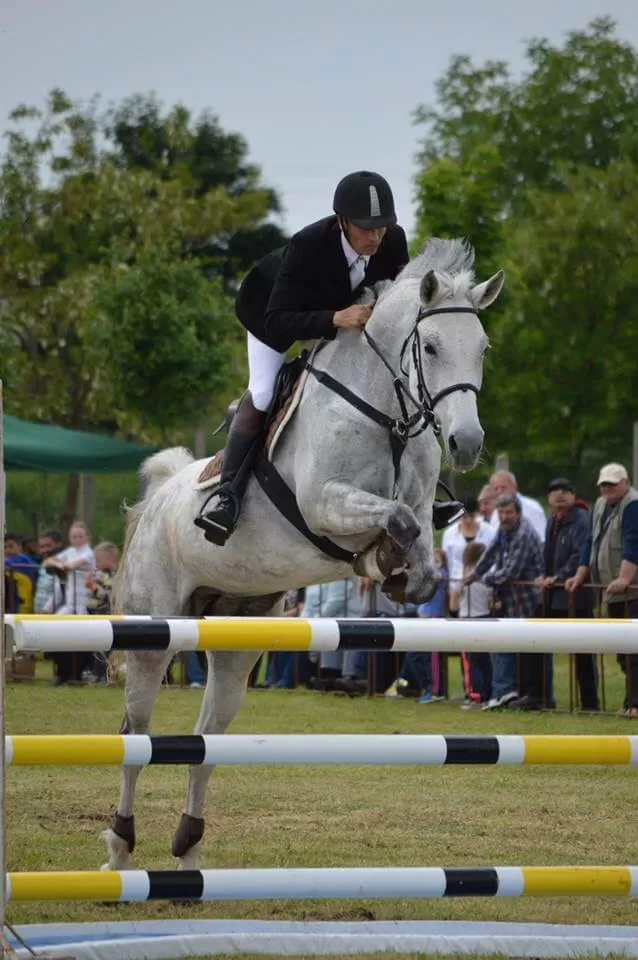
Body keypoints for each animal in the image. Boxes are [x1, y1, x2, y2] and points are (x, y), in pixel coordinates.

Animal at [104, 238, 504, 872]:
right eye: (433, 346)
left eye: (483, 349)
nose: (466, 444)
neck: (383, 409)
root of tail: (159, 498)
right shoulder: (324, 505)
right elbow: (395, 519)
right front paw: (385, 564)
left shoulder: (417, 503)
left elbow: (418, 537)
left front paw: (397, 574)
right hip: (152, 634)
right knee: (135, 732)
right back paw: (120, 847)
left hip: (237, 638)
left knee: (207, 735)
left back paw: (188, 849)